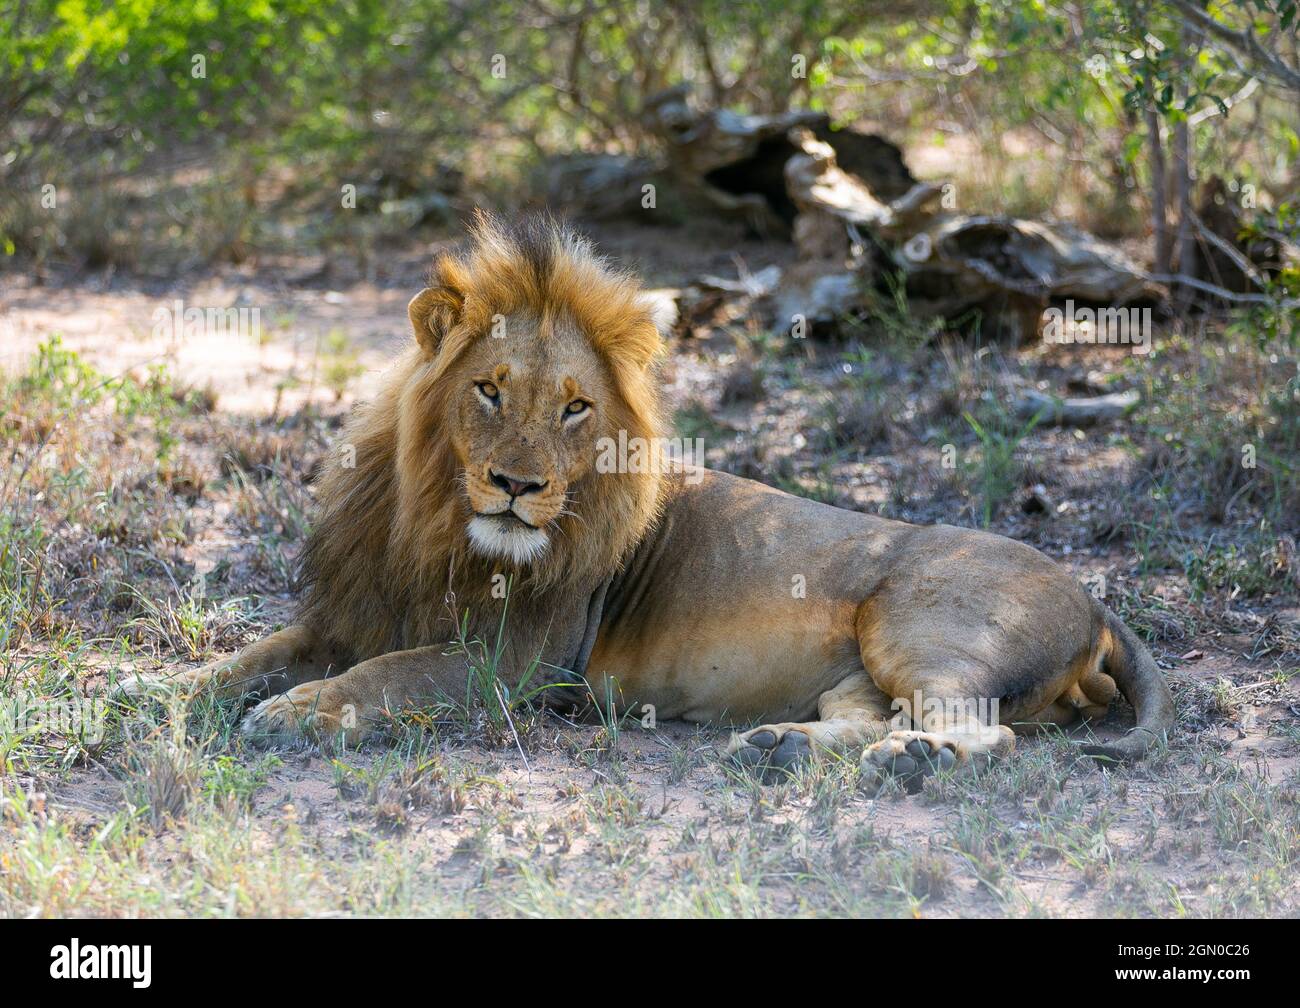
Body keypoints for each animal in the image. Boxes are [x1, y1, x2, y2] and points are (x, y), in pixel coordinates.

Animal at [118, 211, 1174, 788]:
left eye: (576, 408)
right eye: (489, 389)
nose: (518, 486)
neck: (436, 527)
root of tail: (1096, 596)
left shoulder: (516, 661)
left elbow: (384, 678)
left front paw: (296, 714)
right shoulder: (352, 611)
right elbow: (247, 657)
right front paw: (149, 691)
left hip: (920, 628)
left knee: (978, 728)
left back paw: (916, 766)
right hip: (862, 674)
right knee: (878, 718)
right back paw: (778, 747)